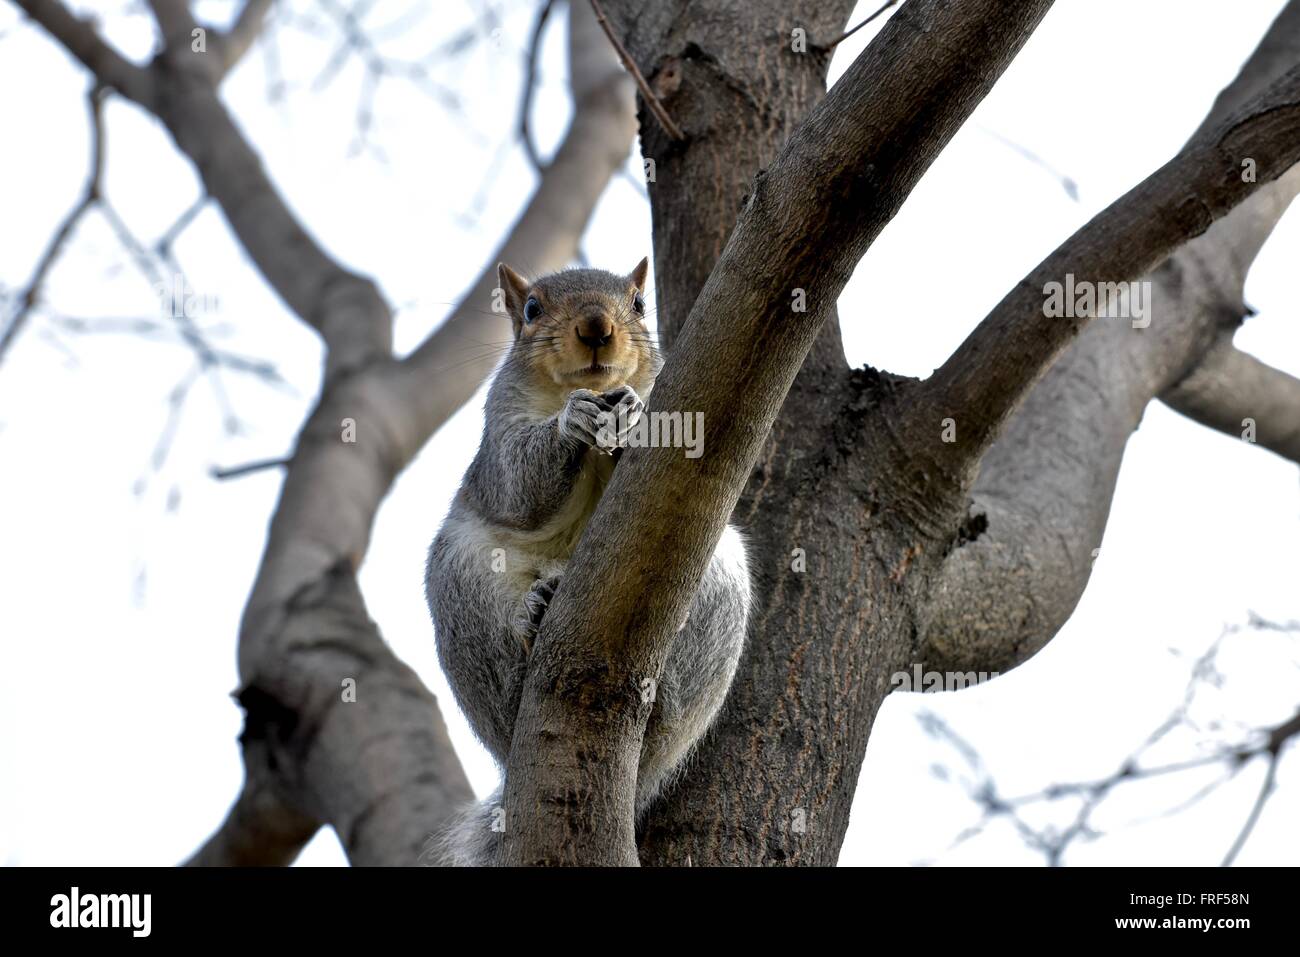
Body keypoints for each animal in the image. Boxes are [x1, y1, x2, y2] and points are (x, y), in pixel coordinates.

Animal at [424, 258, 751, 865]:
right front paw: (570, 422)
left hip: (719, 583)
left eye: (639, 305)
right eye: (532, 310)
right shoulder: (499, 430)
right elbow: (516, 483)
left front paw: (637, 416)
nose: (597, 327)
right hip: (460, 583)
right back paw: (535, 619)